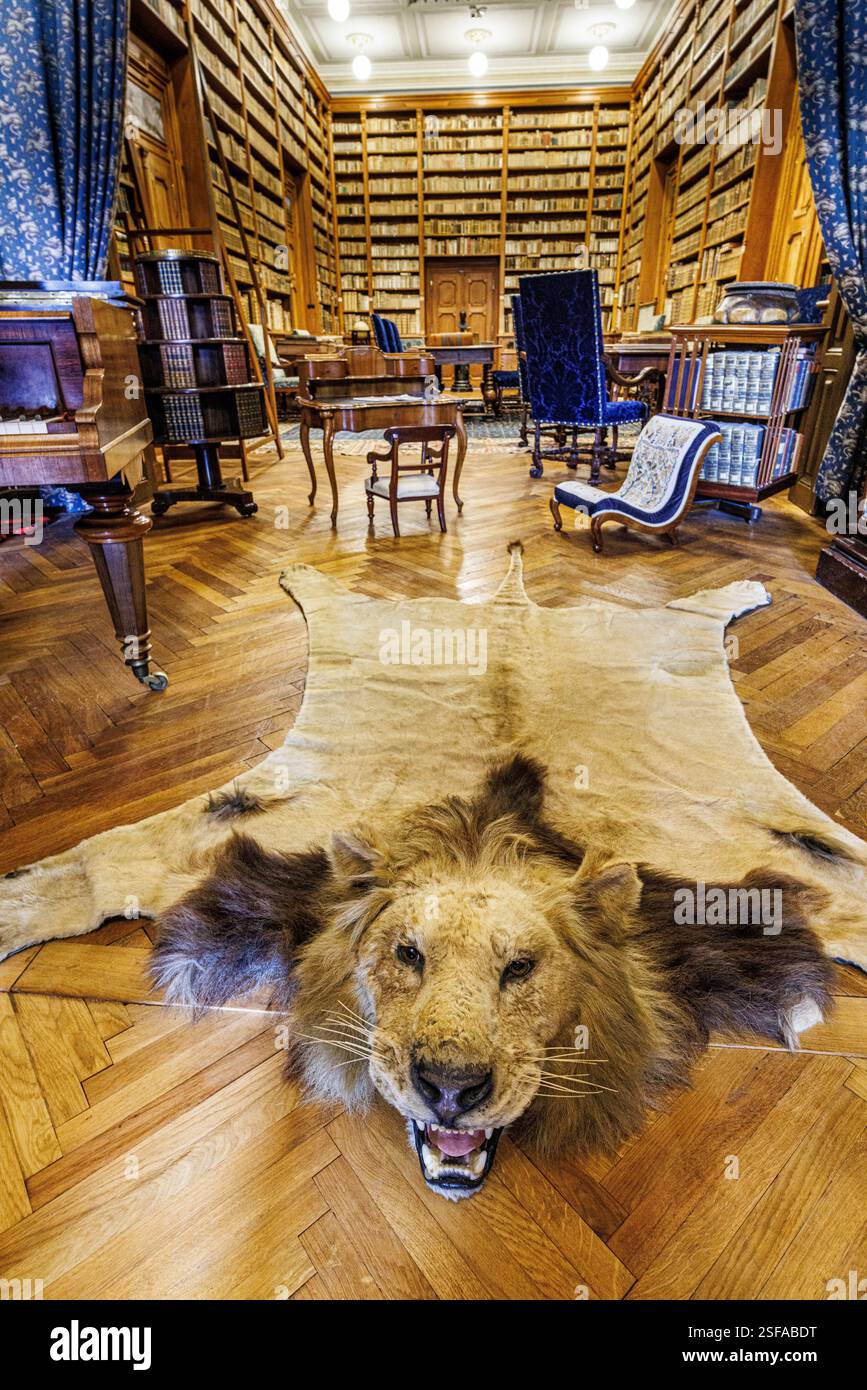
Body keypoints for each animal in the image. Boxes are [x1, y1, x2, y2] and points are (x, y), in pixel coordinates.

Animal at [151, 755, 835, 1200]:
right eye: (409, 954)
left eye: (520, 967)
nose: (451, 1089)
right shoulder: (281, 898)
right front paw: (178, 965)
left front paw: (804, 1011)